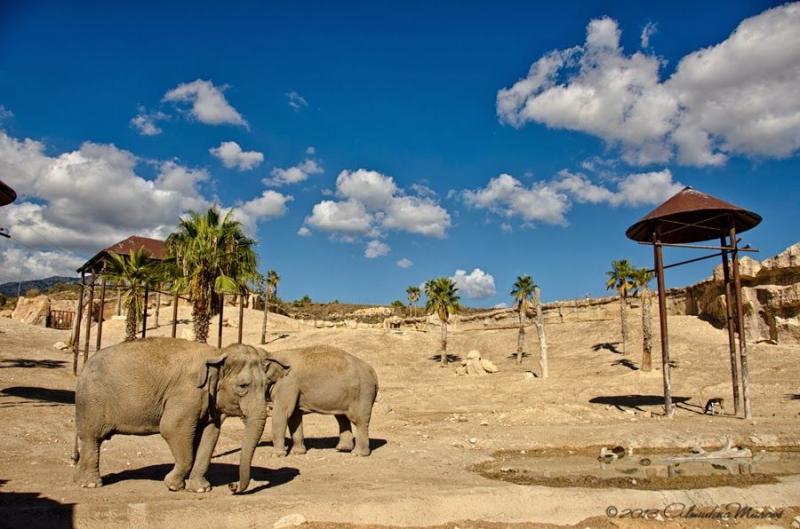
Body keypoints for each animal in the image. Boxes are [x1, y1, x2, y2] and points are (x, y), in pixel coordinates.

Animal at [73, 338, 269, 494]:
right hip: (91, 401)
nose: (232, 487)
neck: (217, 352)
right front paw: (173, 485)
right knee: (92, 437)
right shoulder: (187, 395)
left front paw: (201, 489)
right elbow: (171, 429)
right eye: (243, 386)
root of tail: (85, 364)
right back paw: (91, 484)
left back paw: (81, 480)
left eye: (267, 385)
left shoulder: (208, 404)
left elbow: (210, 435)